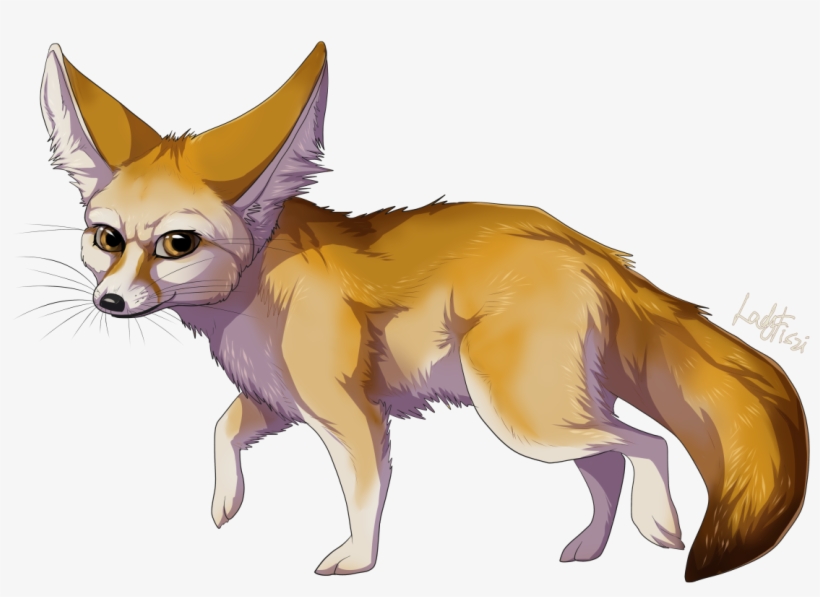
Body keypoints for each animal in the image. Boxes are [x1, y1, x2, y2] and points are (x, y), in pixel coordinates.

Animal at [38, 41, 808, 582]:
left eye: (177, 244)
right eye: (107, 239)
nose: (109, 300)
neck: (259, 287)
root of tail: (585, 243)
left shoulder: (350, 414)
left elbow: (364, 492)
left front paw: (355, 561)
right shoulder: (279, 398)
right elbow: (222, 429)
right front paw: (225, 503)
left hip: (526, 418)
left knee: (644, 445)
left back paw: (660, 526)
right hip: (552, 418)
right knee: (609, 463)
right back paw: (589, 548)